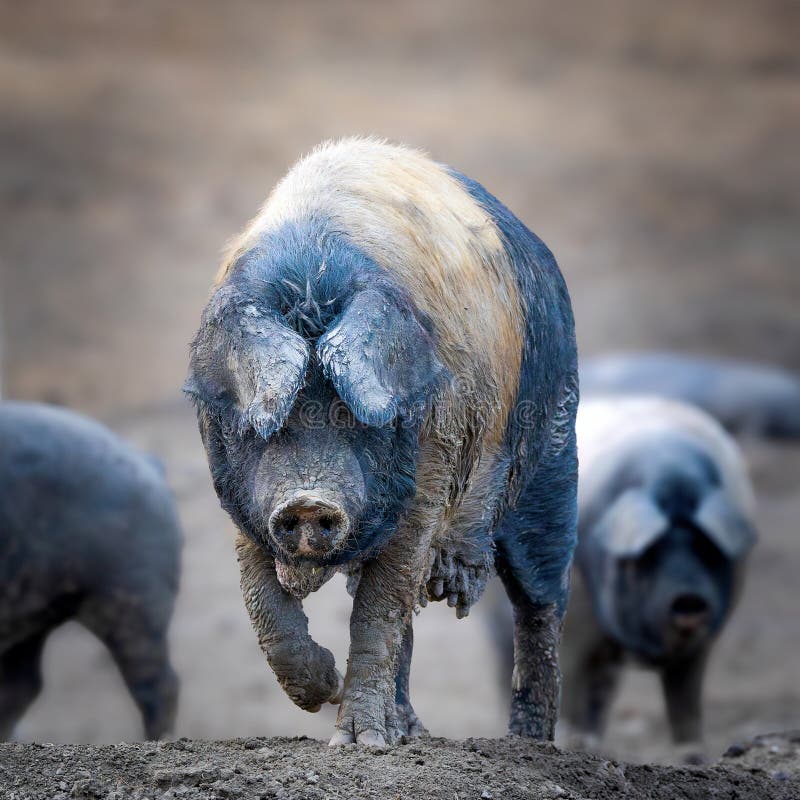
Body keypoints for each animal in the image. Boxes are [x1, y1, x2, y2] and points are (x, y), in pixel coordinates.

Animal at [185, 137, 579, 746]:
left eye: (355, 416)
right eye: (267, 425)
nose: (308, 500)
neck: (312, 279)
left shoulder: (432, 467)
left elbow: (380, 607)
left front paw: (358, 743)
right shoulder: (236, 492)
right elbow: (264, 603)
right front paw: (327, 691)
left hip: (555, 448)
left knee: (542, 599)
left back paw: (526, 744)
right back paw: (410, 734)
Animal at [559, 396, 757, 757]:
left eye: (707, 549)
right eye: (648, 555)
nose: (689, 597)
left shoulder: (702, 644)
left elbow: (686, 705)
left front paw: (692, 757)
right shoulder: (575, 617)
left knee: (600, 693)